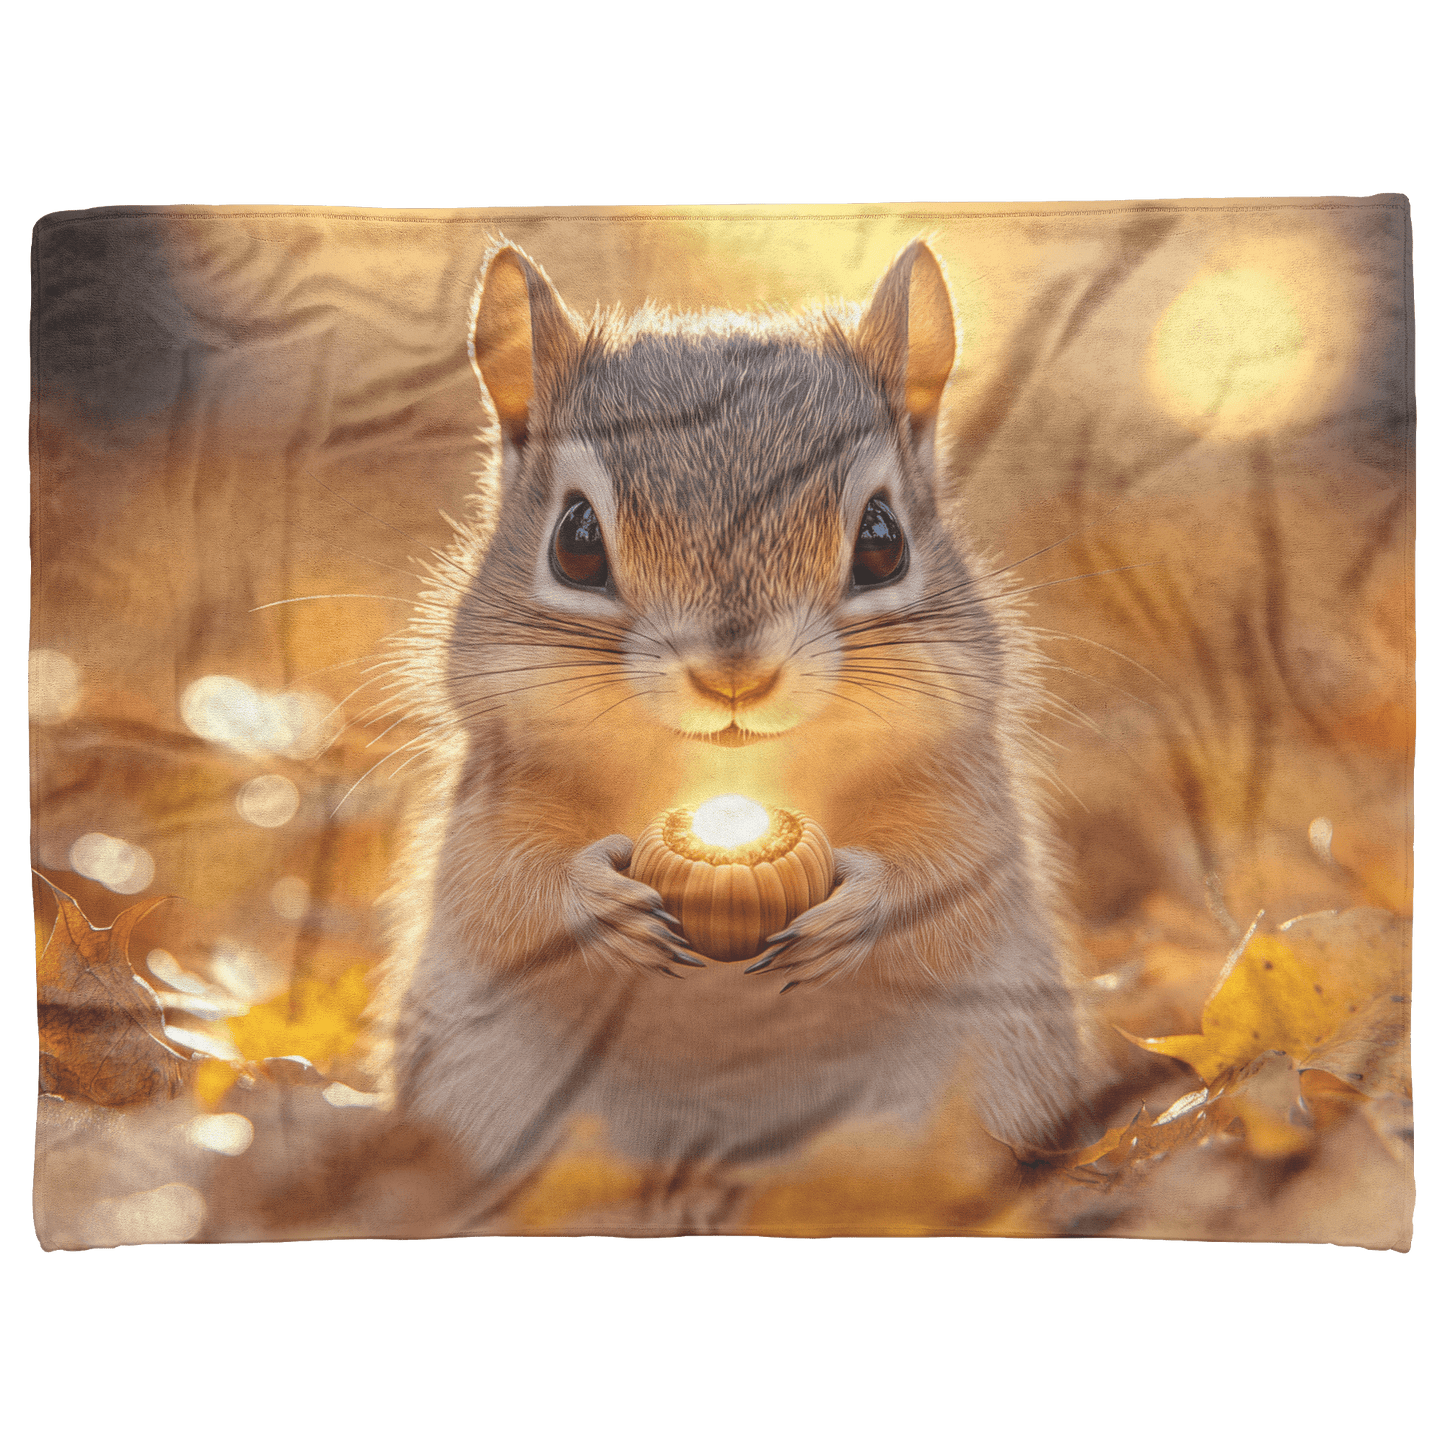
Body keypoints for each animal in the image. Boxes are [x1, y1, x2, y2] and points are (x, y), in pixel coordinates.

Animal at [373, 236, 1114, 1229]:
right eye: (575, 540)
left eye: (882, 539)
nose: (734, 674)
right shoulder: (495, 783)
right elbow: (499, 886)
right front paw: (589, 899)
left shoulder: (959, 776)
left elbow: (955, 876)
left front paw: (866, 904)